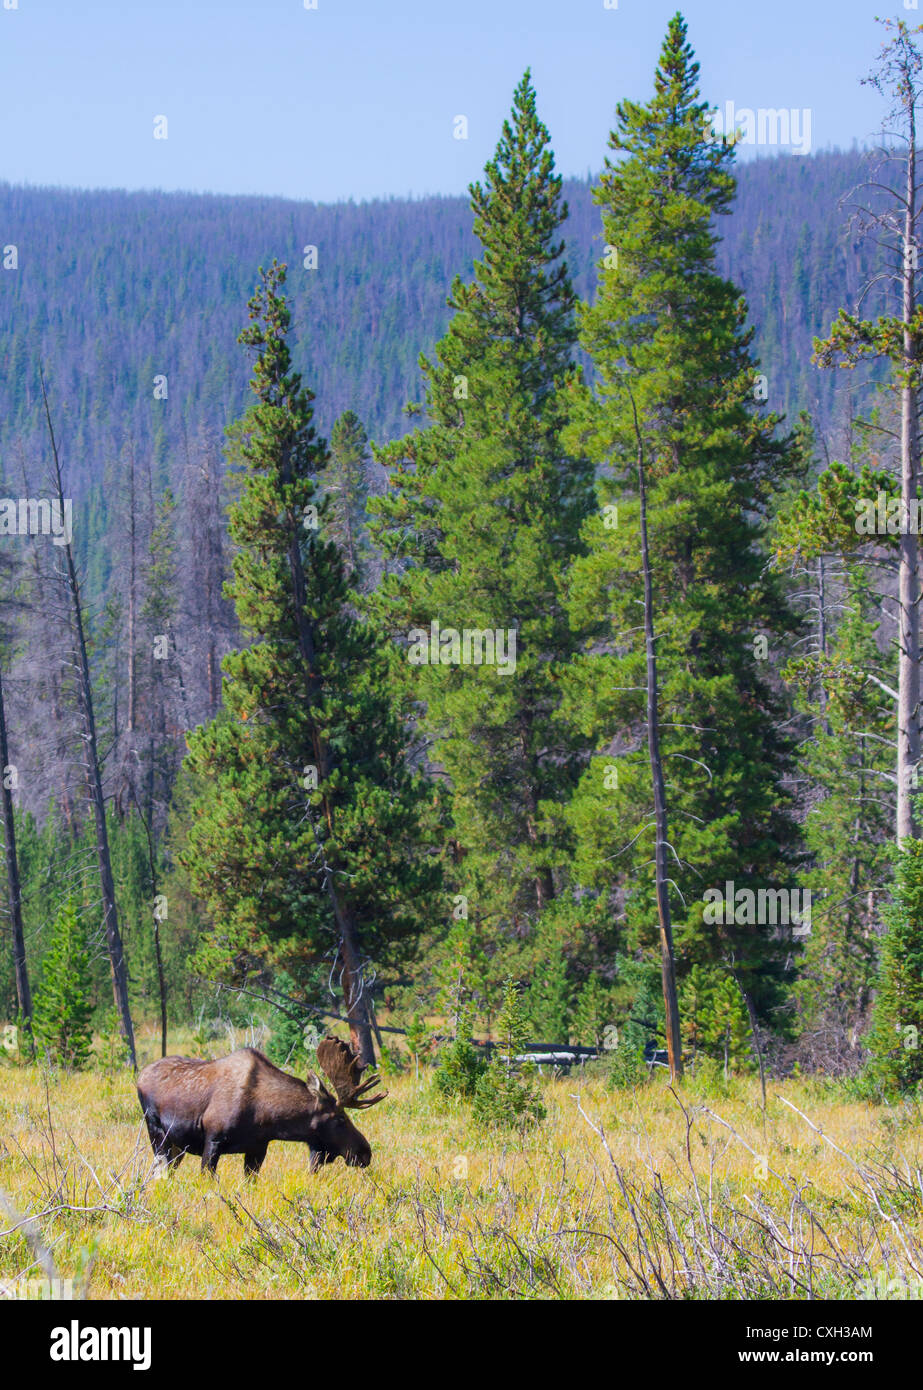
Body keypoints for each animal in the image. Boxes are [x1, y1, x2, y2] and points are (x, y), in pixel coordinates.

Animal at [136, 1036, 386, 1177]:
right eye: (340, 1119)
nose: (365, 1152)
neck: (267, 1116)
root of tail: (140, 1076)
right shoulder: (213, 1140)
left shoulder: (257, 1149)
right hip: (158, 1135)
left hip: (177, 1146)